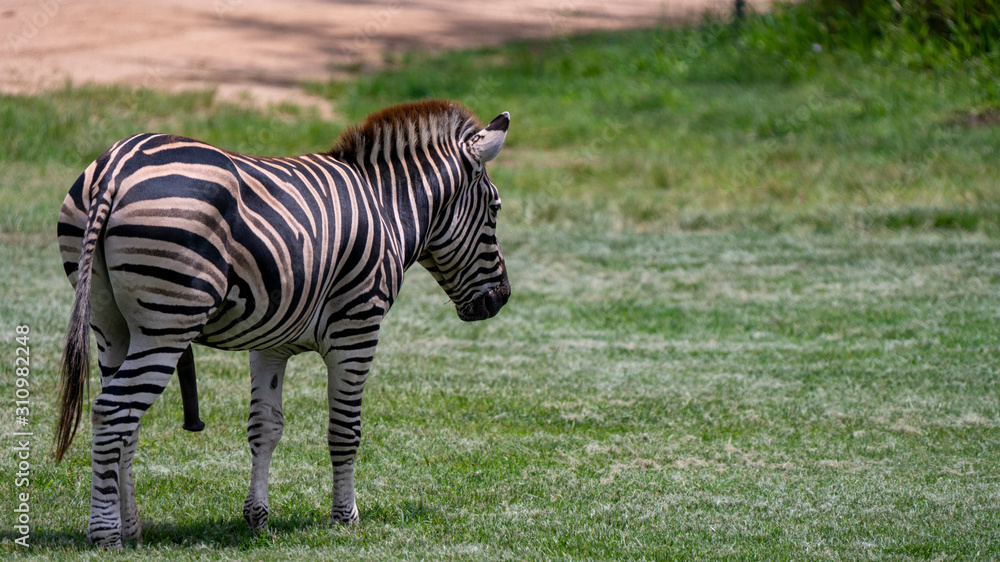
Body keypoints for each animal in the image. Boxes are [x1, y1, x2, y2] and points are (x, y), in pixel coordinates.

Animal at [54, 99, 511, 548]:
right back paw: (106, 534)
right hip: (166, 325)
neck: (385, 207)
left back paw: (131, 527)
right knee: (112, 412)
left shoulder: (269, 342)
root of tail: (116, 166)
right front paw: (345, 518)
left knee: (126, 422)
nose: (502, 298)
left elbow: (265, 427)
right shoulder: (357, 328)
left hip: (110, 326)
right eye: (495, 209)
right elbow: (345, 430)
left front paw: (257, 517)